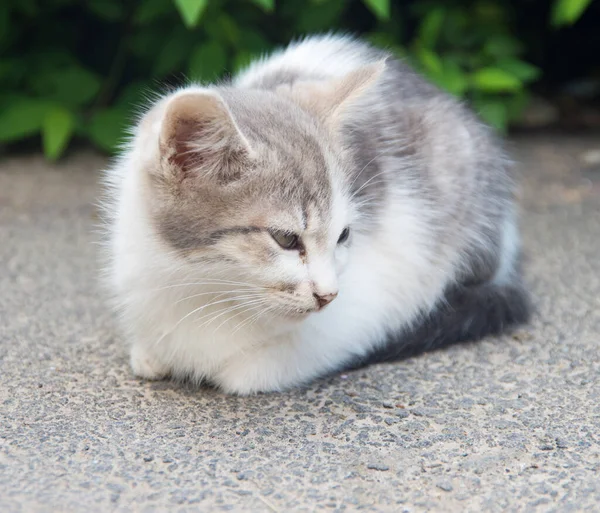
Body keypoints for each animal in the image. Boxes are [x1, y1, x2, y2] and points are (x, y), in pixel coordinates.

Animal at [102, 34, 528, 394]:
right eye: (285, 239)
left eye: (344, 235)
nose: (328, 295)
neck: (200, 287)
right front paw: (153, 353)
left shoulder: (378, 292)